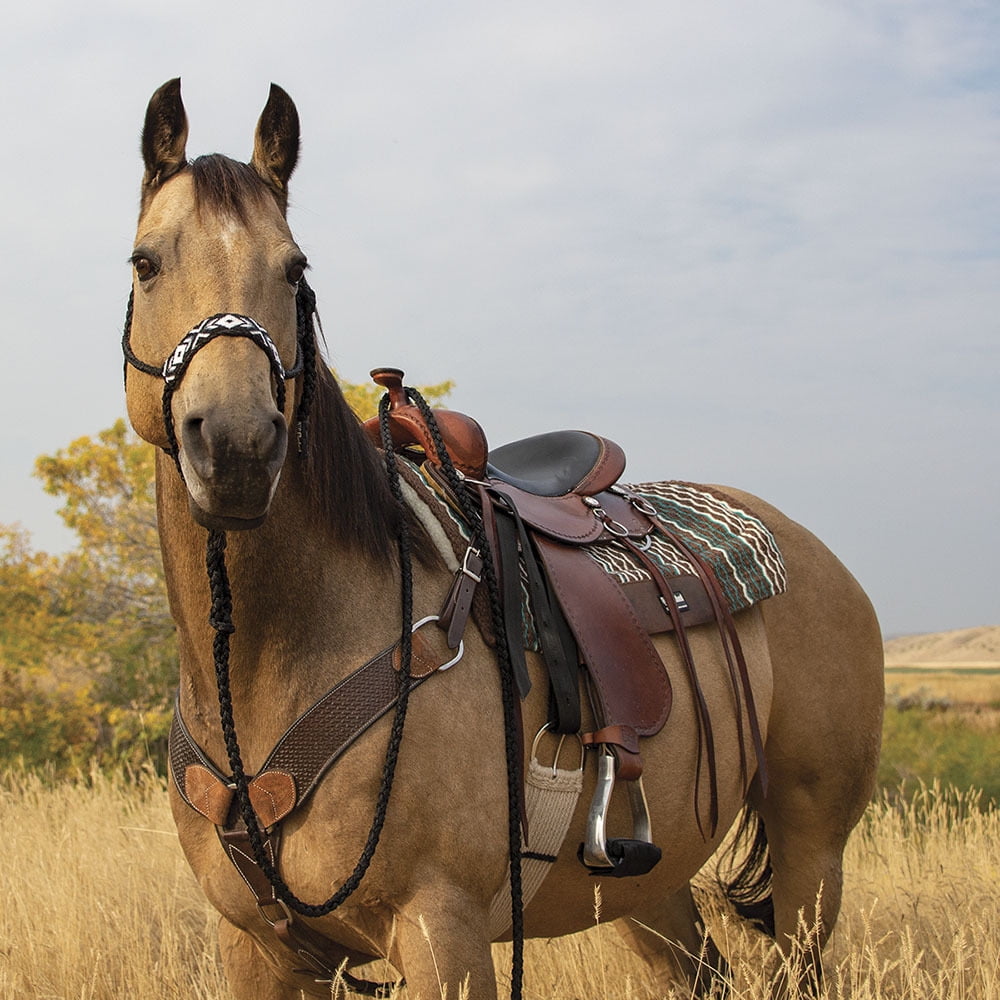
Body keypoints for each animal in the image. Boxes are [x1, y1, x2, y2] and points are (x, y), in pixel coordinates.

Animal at [122, 78, 884, 999]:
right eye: (145, 262)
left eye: (295, 269)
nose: (236, 445)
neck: (281, 660)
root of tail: (812, 550)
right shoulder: (258, 950)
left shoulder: (441, 931)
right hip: (645, 888)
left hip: (813, 850)